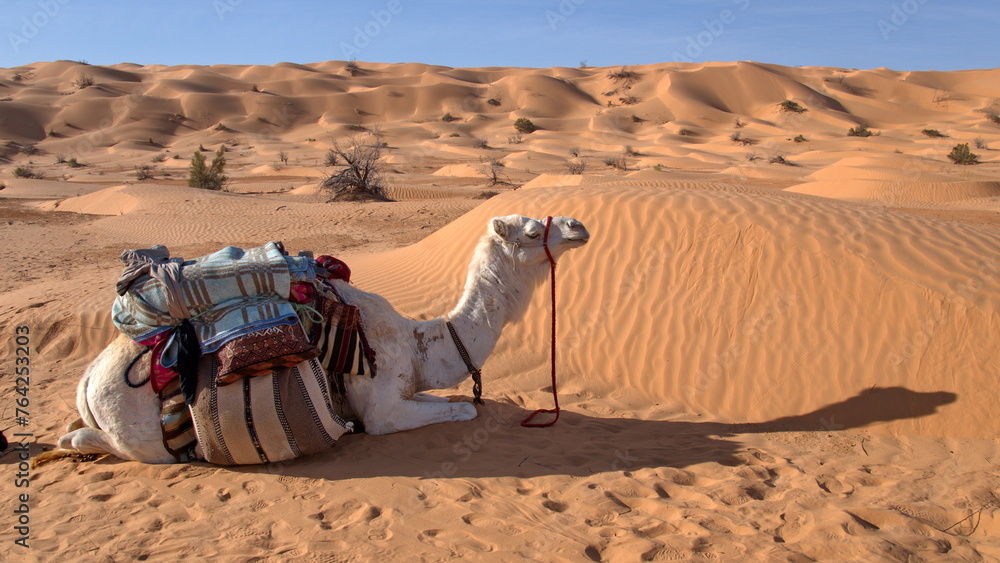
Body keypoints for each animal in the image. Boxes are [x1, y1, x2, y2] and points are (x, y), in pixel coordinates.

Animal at [45, 215, 590, 464]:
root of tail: (88, 380)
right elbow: (463, 410)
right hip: (136, 430)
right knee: (96, 440)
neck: (420, 342)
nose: (577, 225)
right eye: (528, 231)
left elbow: (452, 402)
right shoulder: (382, 409)